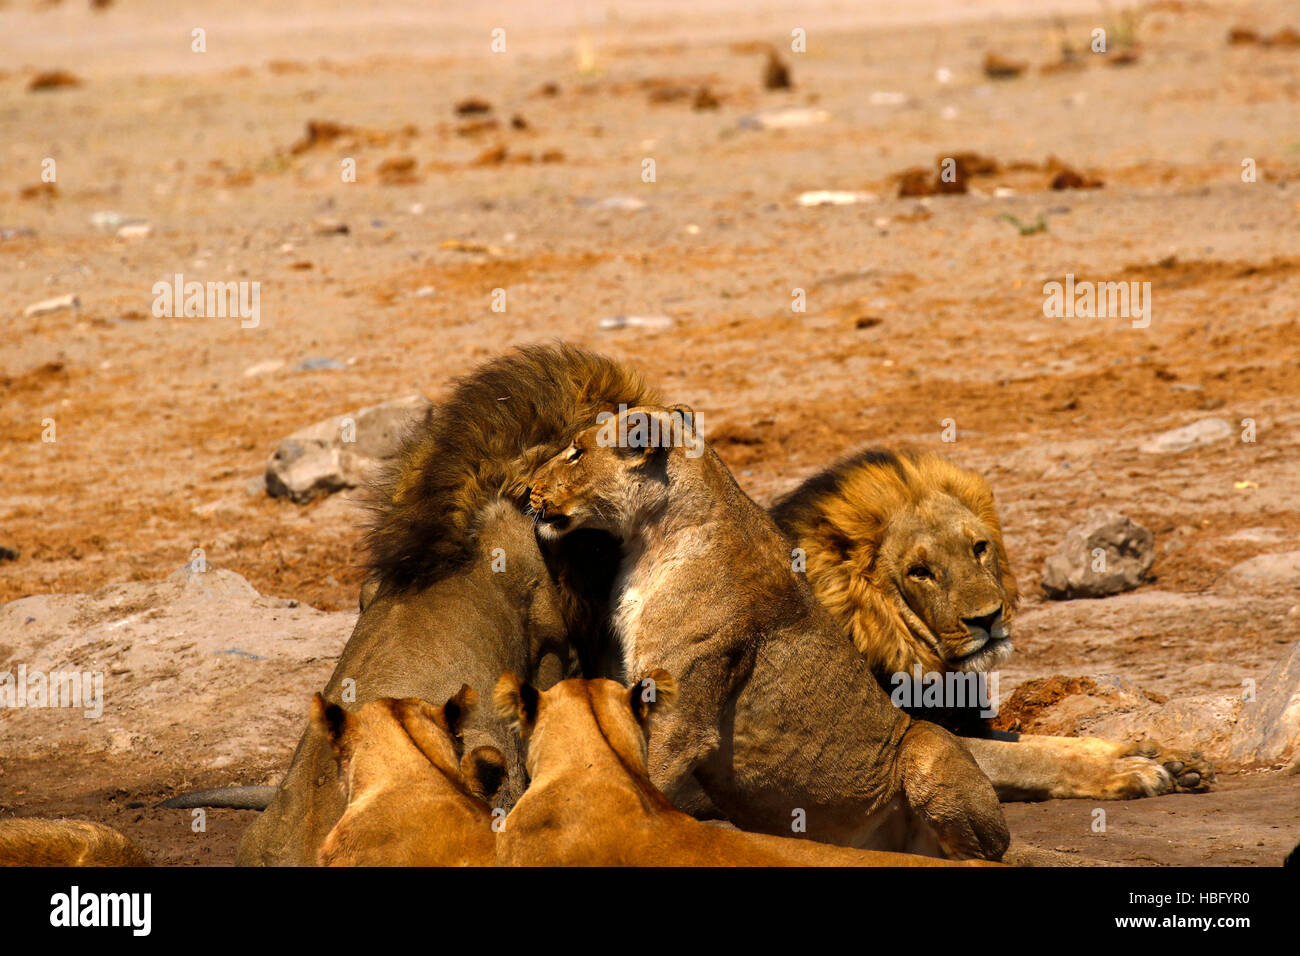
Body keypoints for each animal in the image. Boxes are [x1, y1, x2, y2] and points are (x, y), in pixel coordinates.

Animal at [769, 448, 1214, 801]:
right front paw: (1127, 771)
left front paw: (1163, 756)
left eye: (979, 548)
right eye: (919, 572)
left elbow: (1044, 742)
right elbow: (1025, 758)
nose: (988, 618)